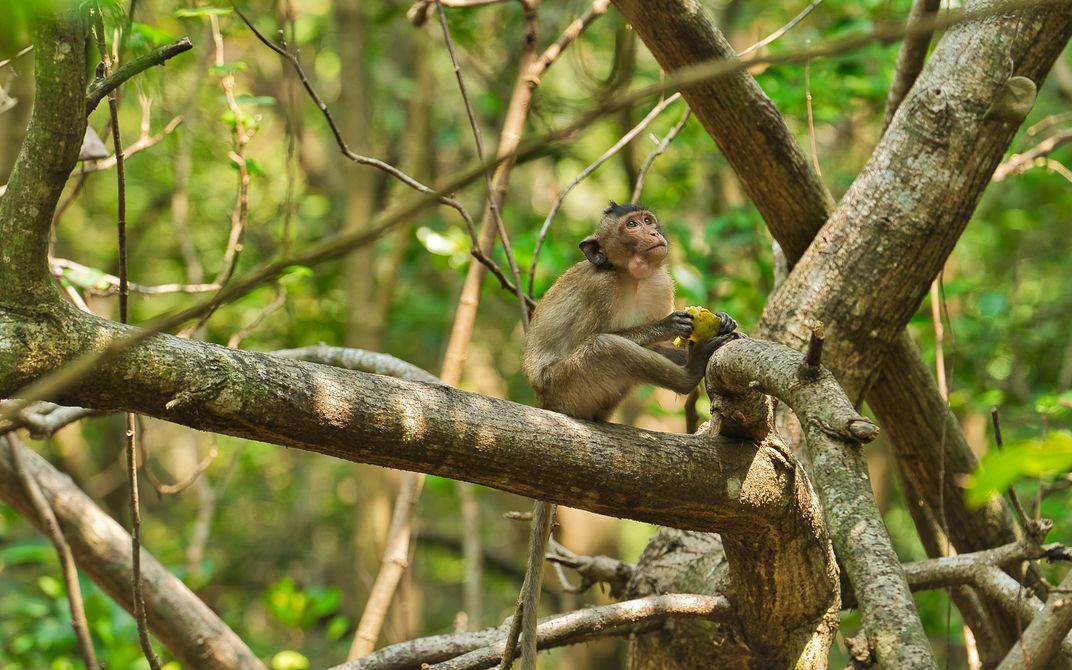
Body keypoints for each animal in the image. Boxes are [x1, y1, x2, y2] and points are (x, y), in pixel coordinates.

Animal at [506, 202, 737, 670]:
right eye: (631, 226)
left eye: (647, 220)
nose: (651, 233)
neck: (633, 277)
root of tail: (543, 402)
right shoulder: (601, 289)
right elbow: (598, 337)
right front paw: (669, 327)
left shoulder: (661, 284)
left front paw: (720, 326)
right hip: (565, 387)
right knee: (606, 348)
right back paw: (690, 374)